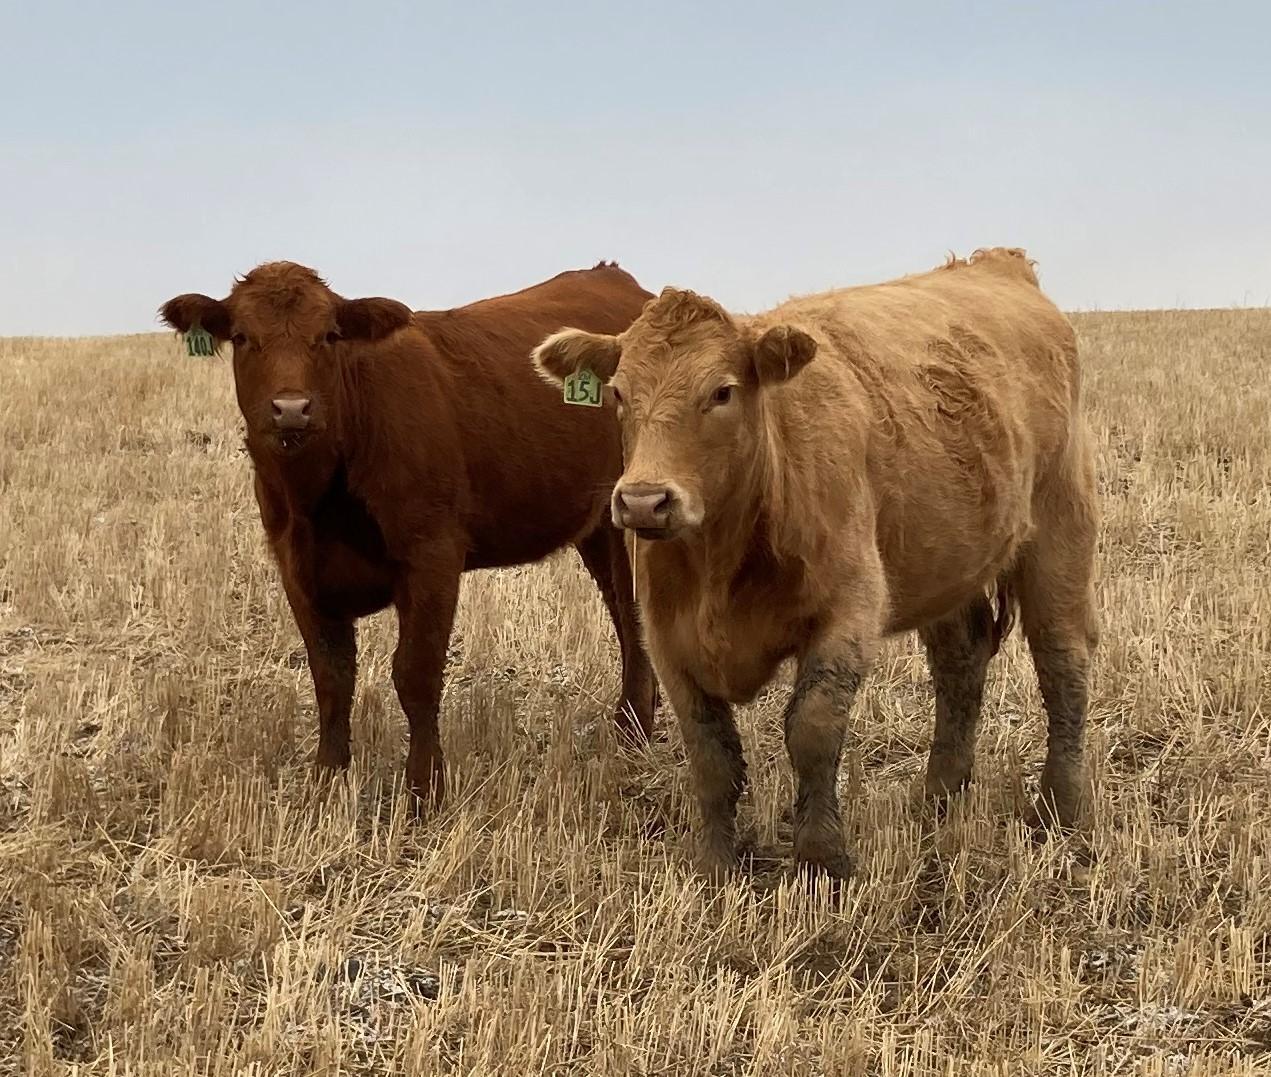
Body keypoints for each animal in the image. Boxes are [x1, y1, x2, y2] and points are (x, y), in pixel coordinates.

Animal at [159, 260, 659, 807]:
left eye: (329, 335)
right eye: (243, 336)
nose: (292, 408)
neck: (317, 498)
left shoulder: (432, 555)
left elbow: (415, 674)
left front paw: (425, 789)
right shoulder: (295, 567)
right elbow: (330, 676)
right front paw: (326, 779)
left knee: (633, 610)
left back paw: (633, 726)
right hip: (599, 526)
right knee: (622, 609)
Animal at [532, 248, 1099, 881]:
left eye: (722, 392)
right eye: (619, 393)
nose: (643, 500)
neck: (719, 562)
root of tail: (999, 266)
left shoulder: (847, 611)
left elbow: (812, 729)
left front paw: (822, 859)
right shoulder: (665, 636)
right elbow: (709, 751)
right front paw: (716, 863)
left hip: (1061, 533)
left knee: (1062, 663)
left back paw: (1060, 809)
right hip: (947, 562)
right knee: (961, 662)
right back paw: (938, 796)